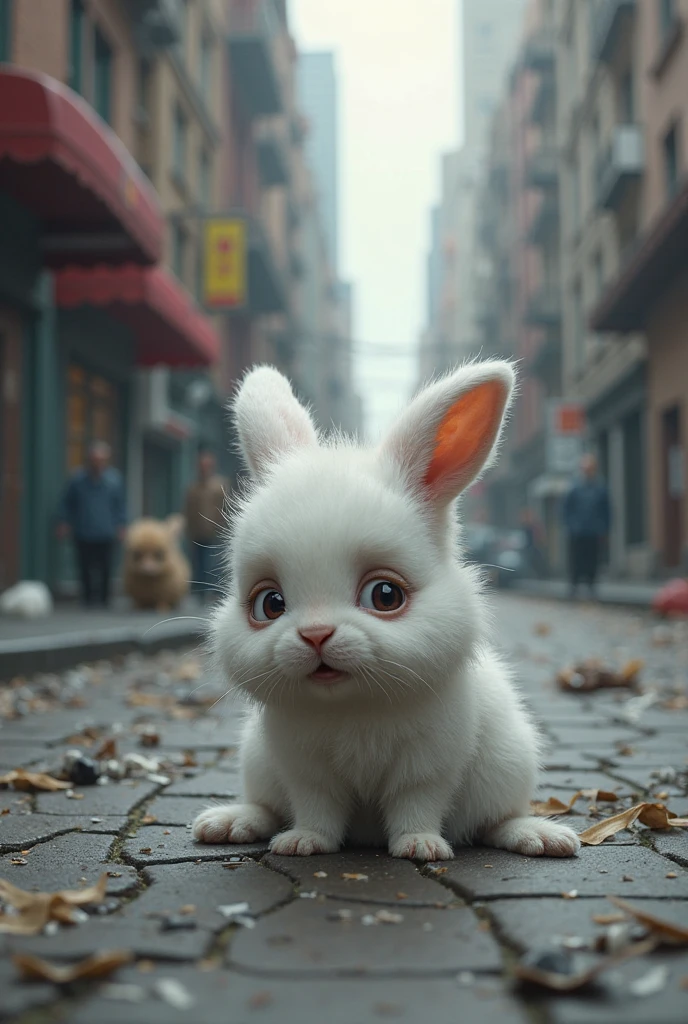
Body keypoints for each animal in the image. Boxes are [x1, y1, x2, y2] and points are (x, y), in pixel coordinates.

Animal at [192, 362, 580, 861]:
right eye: (270, 603)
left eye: (385, 596)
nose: (315, 635)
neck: (354, 703)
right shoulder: (304, 767)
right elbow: (316, 805)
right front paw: (304, 844)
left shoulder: (430, 763)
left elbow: (416, 801)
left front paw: (420, 847)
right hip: (257, 761)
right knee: (267, 805)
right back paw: (228, 823)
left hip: (509, 764)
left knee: (493, 821)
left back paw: (540, 837)